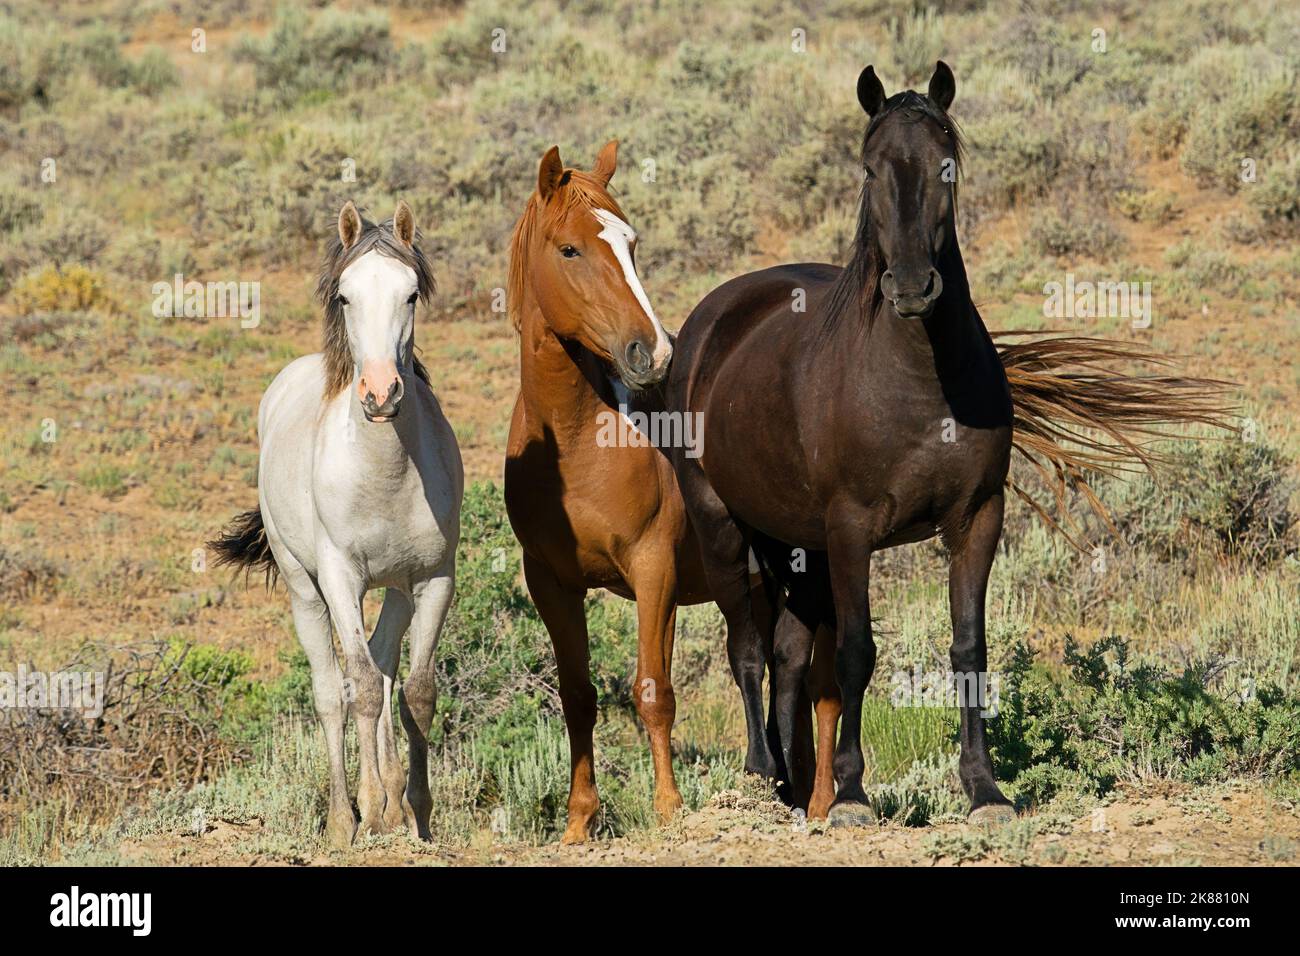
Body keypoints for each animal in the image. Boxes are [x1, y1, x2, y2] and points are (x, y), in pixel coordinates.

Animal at [211, 201, 464, 847]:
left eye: (410, 295)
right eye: (345, 296)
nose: (380, 394)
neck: (385, 474)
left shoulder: (433, 580)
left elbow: (414, 691)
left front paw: (415, 814)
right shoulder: (341, 579)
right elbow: (362, 691)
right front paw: (370, 812)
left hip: (395, 592)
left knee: (380, 666)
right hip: (305, 590)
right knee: (334, 691)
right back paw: (342, 819)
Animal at [502, 142, 809, 842]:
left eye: (632, 244)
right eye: (569, 249)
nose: (655, 352)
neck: (580, 441)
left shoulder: (653, 571)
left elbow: (653, 691)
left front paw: (669, 808)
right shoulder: (551, 582)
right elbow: (579, 696)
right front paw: (579, 820)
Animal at [667, 62, 1232, 825]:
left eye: (946, 165)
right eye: (869, 168)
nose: (911, 286)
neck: (916, 380)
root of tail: (709, 322)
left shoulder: (976, 519)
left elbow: (969, 649)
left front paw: (984, 789)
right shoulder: (851, 529)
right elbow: (856, 652)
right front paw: (853, 794)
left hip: (795, 544)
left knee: (786, 653)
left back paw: (793, 788)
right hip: (723, 527)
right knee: (747, 649)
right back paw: (763, 775)